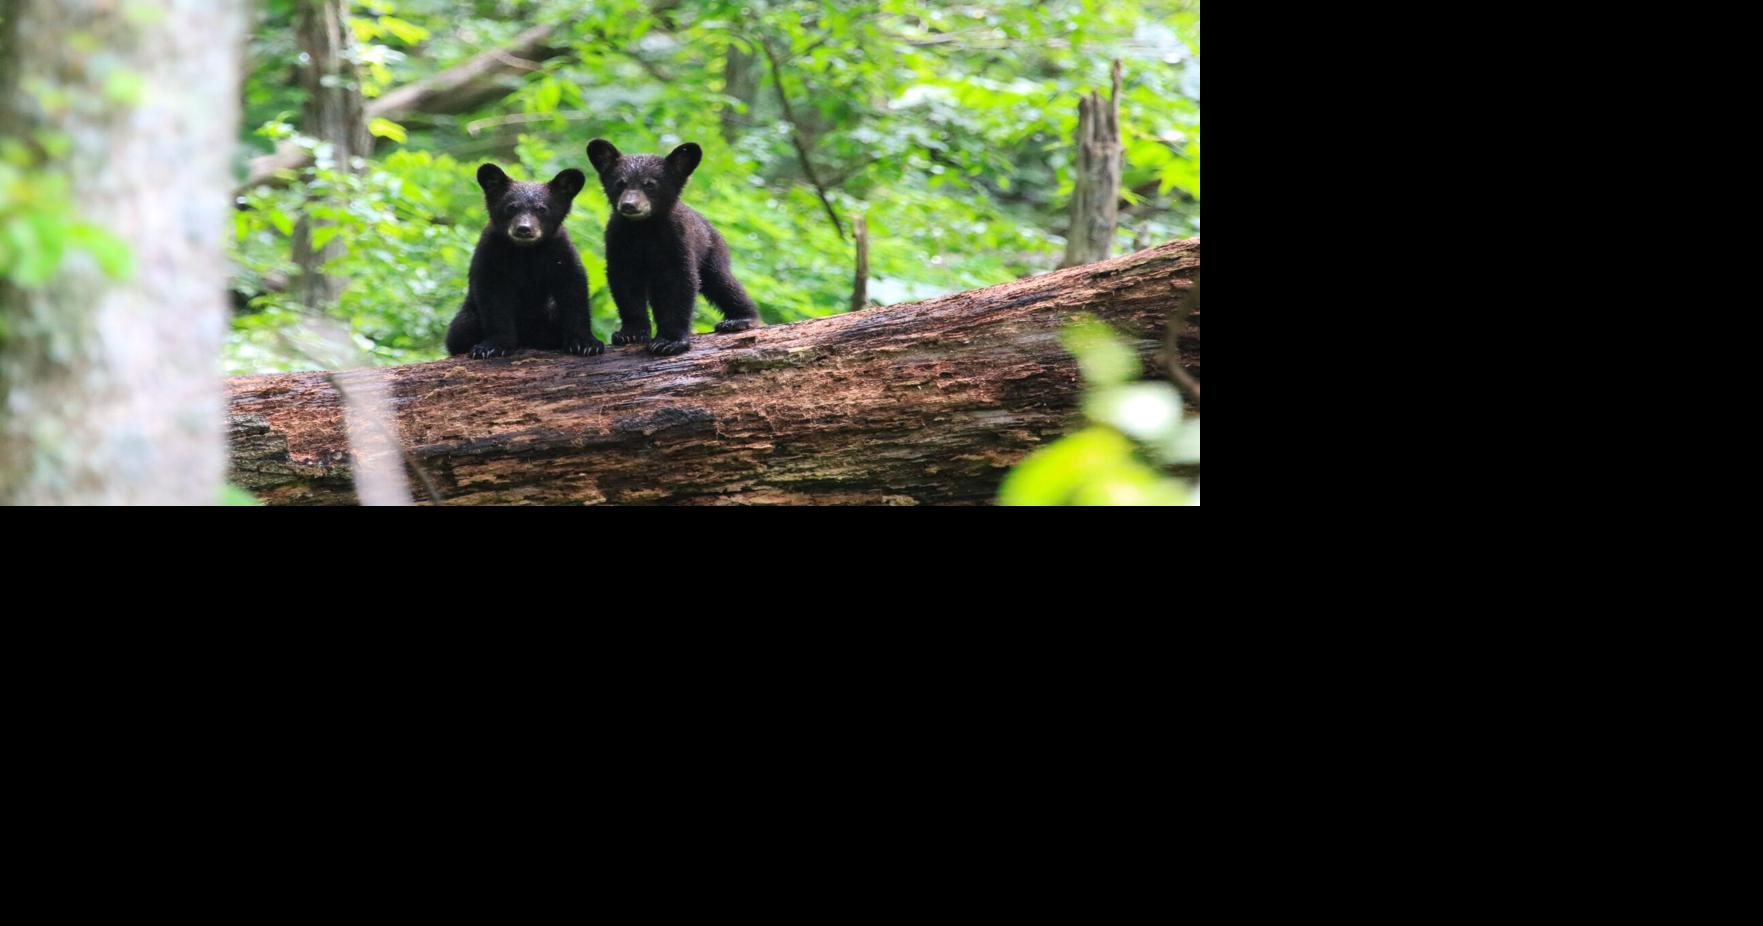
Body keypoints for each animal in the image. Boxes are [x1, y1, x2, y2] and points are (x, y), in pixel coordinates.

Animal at [445, 164, 605, 360]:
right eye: (511, 208)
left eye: (542, 209)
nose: (524, 229)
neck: (526, 251)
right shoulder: (490, 255)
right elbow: (494, 299)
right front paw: (492, 346)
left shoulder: (560, 253)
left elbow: (574, 291)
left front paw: (586, 344)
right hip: (468, 314)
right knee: (460, 329)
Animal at [586, 139, 762, 356]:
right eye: (620, 183)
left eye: (650, 185)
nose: (629, 205)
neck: (644, 228)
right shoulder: (618, 239)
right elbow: (625, 283)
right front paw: (630, 333)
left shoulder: (677, 240)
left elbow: (679, 282)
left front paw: (669, 341)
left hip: (711, 250)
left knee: (721, 281)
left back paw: (740, 319)